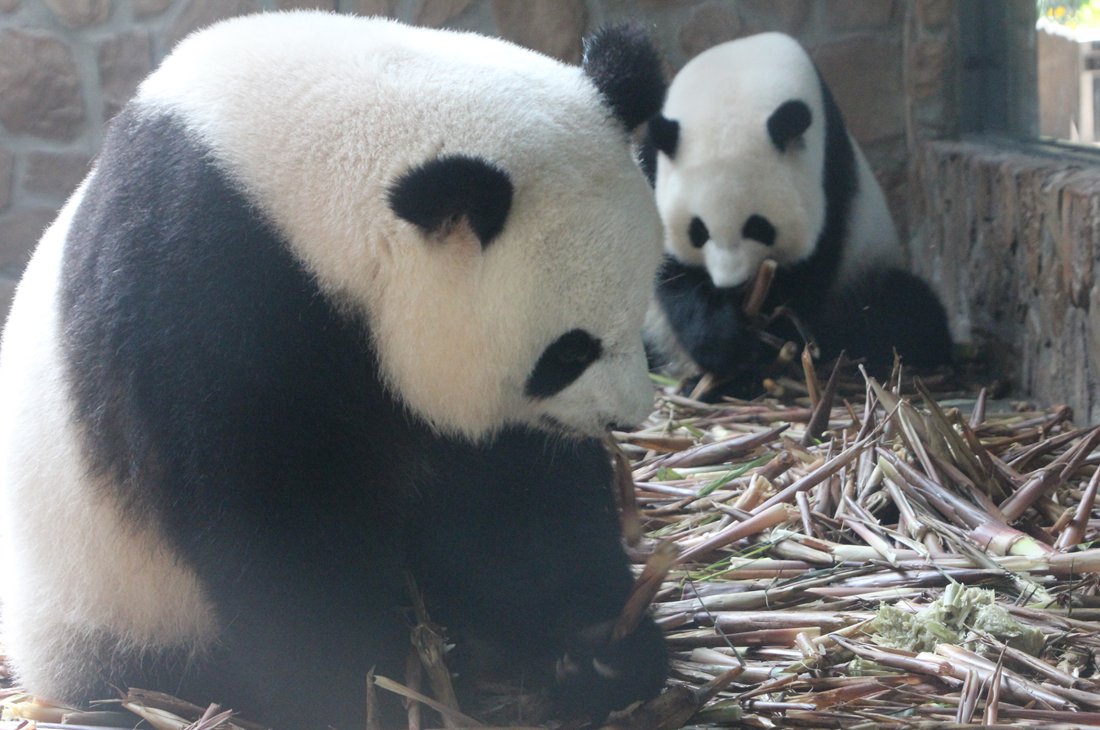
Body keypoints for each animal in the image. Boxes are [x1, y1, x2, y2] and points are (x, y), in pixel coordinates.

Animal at [0, 12, 670, 728]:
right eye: (569, 352)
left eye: (640, 309)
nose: (630, 413)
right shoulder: (194, 299)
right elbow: (275, 528)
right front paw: (362, 688)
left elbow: (511, 500)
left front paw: (598, 652)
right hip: (107, 603)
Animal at [641, 32, 952, 393]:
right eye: (698, 231)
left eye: (758, 227)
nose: (731, 285)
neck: (738, 74)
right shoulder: (654, 165)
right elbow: (668, 273)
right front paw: (723, 345)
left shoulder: (830, 175)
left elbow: (804, 280)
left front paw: (751, 359)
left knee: (906, 310)